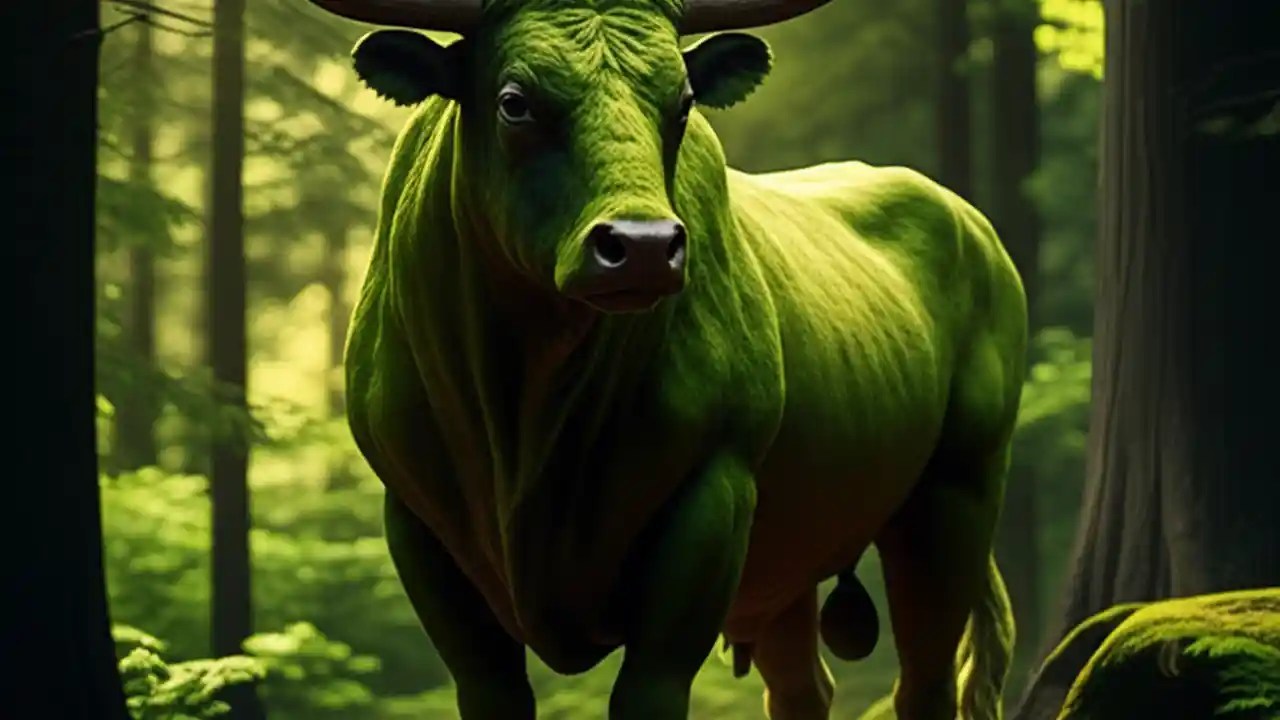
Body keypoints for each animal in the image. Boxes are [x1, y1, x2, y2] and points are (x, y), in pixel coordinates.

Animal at [310, 0, 1026, 718]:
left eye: (682, 101)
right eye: (514, 102)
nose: (645, 246)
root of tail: (976, 230)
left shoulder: (713, 498)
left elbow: (649, 688)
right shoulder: (419, 529)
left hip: (957, 493)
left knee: (925, 682)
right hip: (789, 566)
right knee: (802, 685)